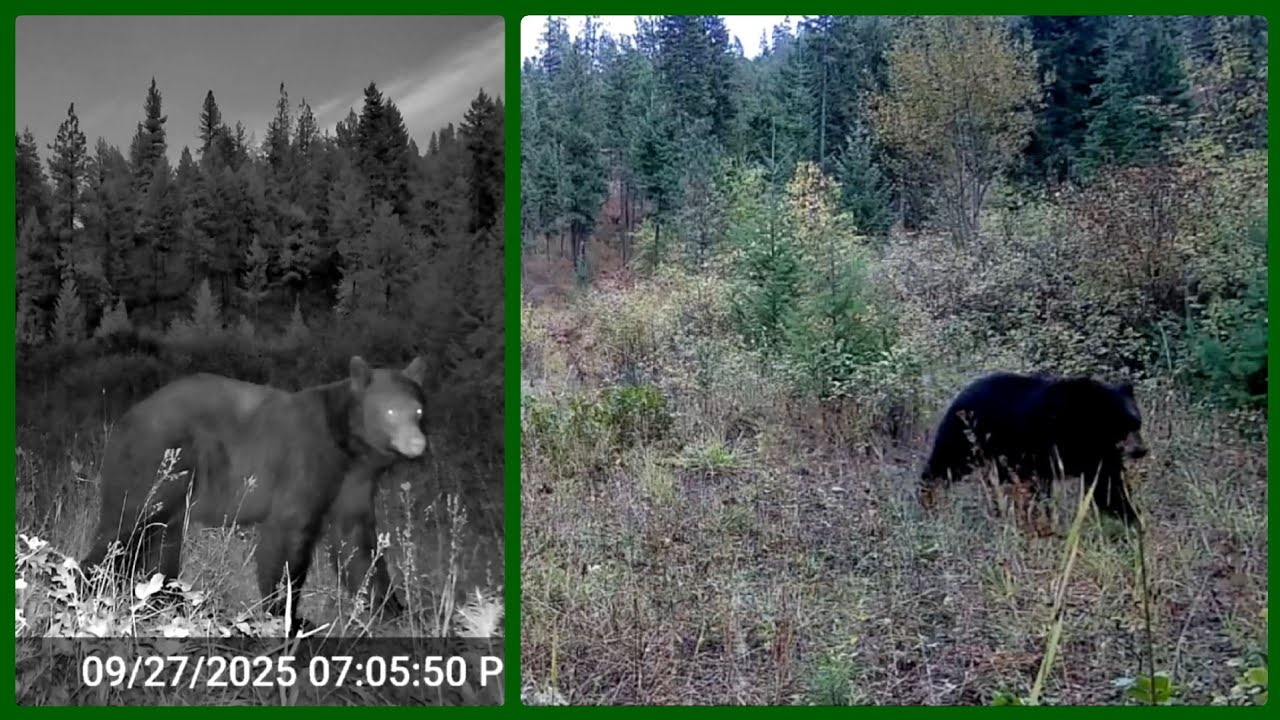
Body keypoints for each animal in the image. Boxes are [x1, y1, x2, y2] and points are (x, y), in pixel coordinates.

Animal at [79, 355, 428, 630]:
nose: (417, 443)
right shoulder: (304, 463)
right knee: (126, 526)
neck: (348, 446)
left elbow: (357, 544)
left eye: (419, 412)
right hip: (156, 465)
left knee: (163, 539)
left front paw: (395, 610)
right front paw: (288, 618)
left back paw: (167, 600)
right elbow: (288, 537)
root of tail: (122, 423)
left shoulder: (354, 483)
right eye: (390, 411)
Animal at [919, 372, 1148, 530]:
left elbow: (1108, 486)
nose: (1141, 450)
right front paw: (1040, 520)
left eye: (1138, 423)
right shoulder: (1045, 443)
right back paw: (928, 498)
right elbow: (1038, 486)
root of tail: (961, 393)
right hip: (965, 434)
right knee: (945, 464)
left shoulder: (1098, 455)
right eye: (1124, 426)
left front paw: (1134, 519)